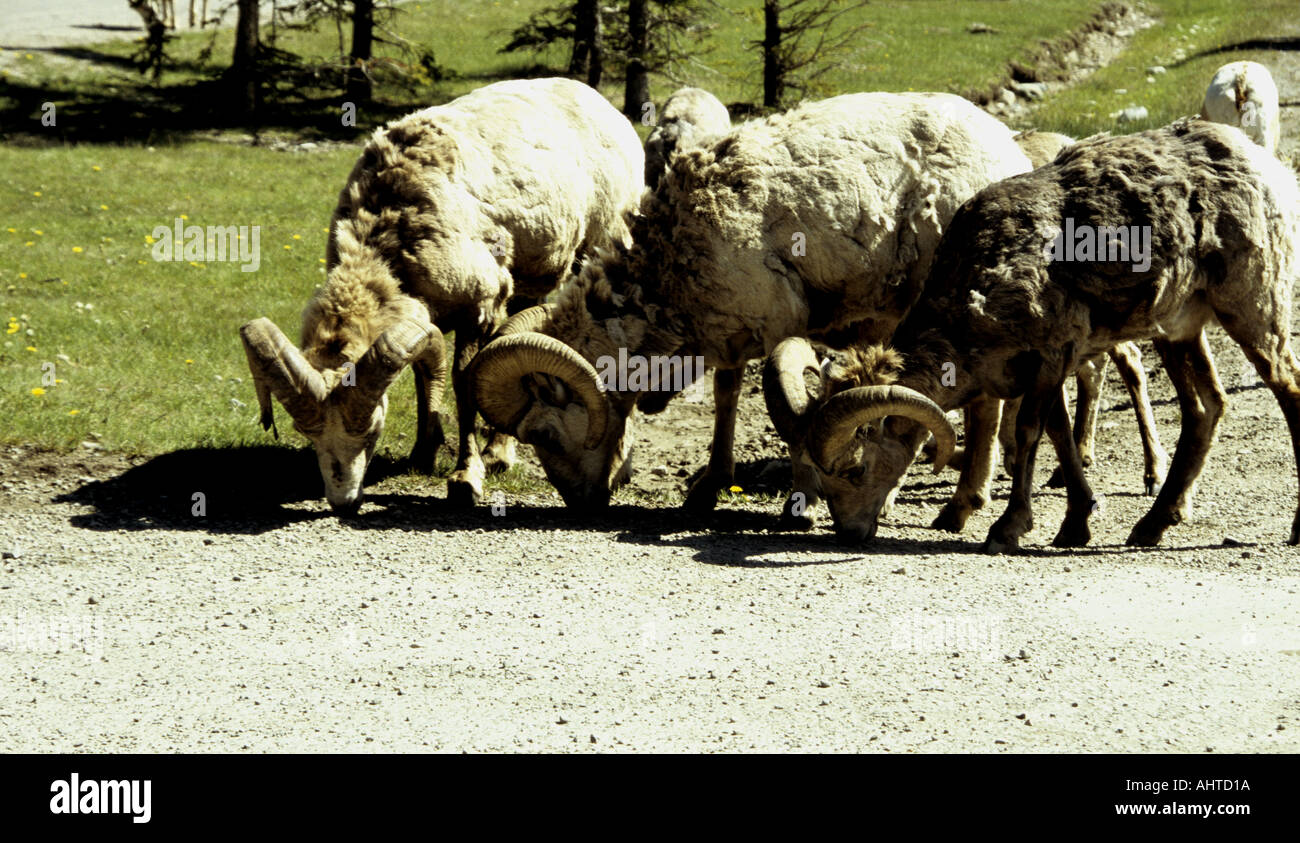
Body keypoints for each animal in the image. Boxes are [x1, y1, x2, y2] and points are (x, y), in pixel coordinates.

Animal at [239, 77, 643, 512]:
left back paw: (503, 458)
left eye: (373, 427)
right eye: (306, 431)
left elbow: (464, 387)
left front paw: (466, 480)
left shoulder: (479, 311)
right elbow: (424, 377)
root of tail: (602, 104)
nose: (343, 500)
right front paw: (422, 454)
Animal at [467, 91, 1033, 513]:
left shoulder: (777, 321)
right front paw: (710, 485)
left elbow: (785, 406)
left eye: (543, 434)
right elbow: (727, 395)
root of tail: (1009, 148)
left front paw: (801, 501)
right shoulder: (730, 325)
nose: (582, 504)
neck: (669, 265)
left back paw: (966, 498)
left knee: (986, 403)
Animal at [774, 118, 1300, 550]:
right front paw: (1075, 526)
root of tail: (1260, 162)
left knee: (1287, 389)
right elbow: (1060, 434)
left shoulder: (1049, 357)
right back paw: (1153, 524)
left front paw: (1005, 530)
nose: (850, 532)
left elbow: (1030, 432)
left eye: (855, 468)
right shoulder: (1050, 367)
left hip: (1251, 308)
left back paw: (1293, 527)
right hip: (1180, 330)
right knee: (1205, 409)